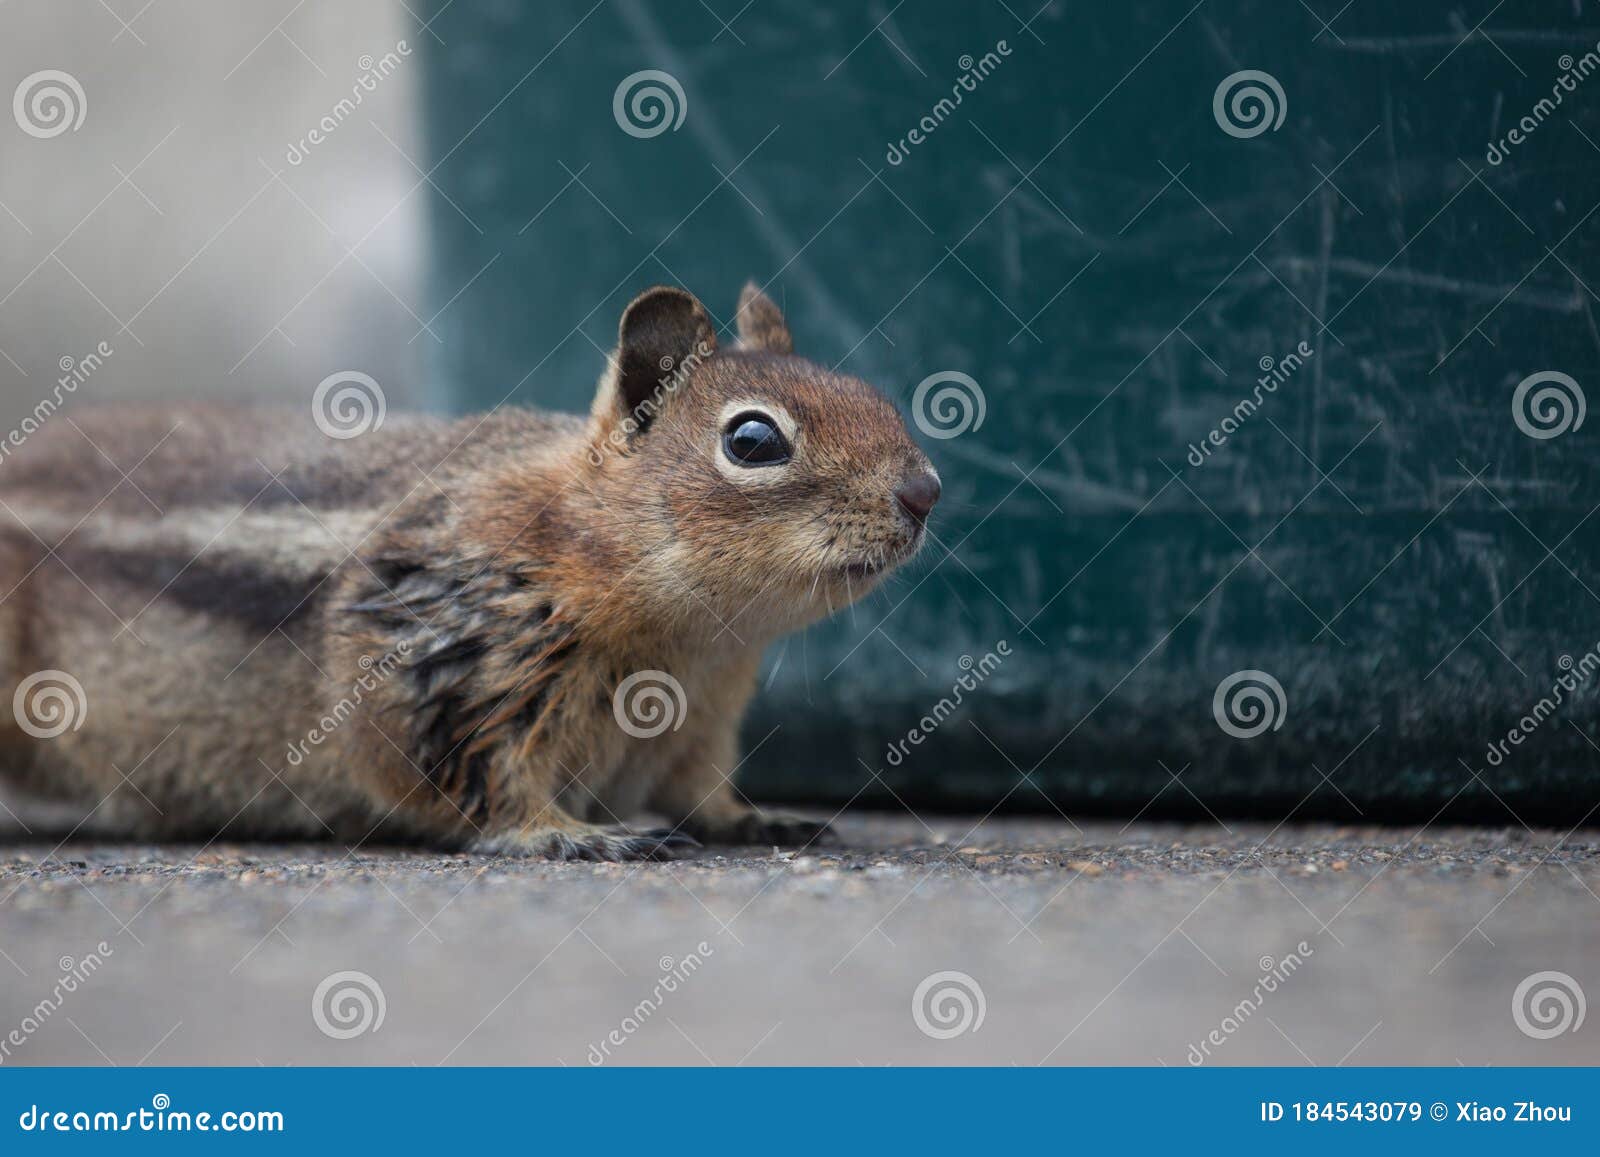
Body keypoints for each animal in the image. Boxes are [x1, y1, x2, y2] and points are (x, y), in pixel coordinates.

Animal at [0, 284, 941, 860]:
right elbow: (480, 776)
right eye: (753, 440)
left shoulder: (705, 716)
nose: (926, 491)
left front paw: (751, 816)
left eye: (874, 397)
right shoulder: (453, 660)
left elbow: (700, 787)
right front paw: (568, 834)